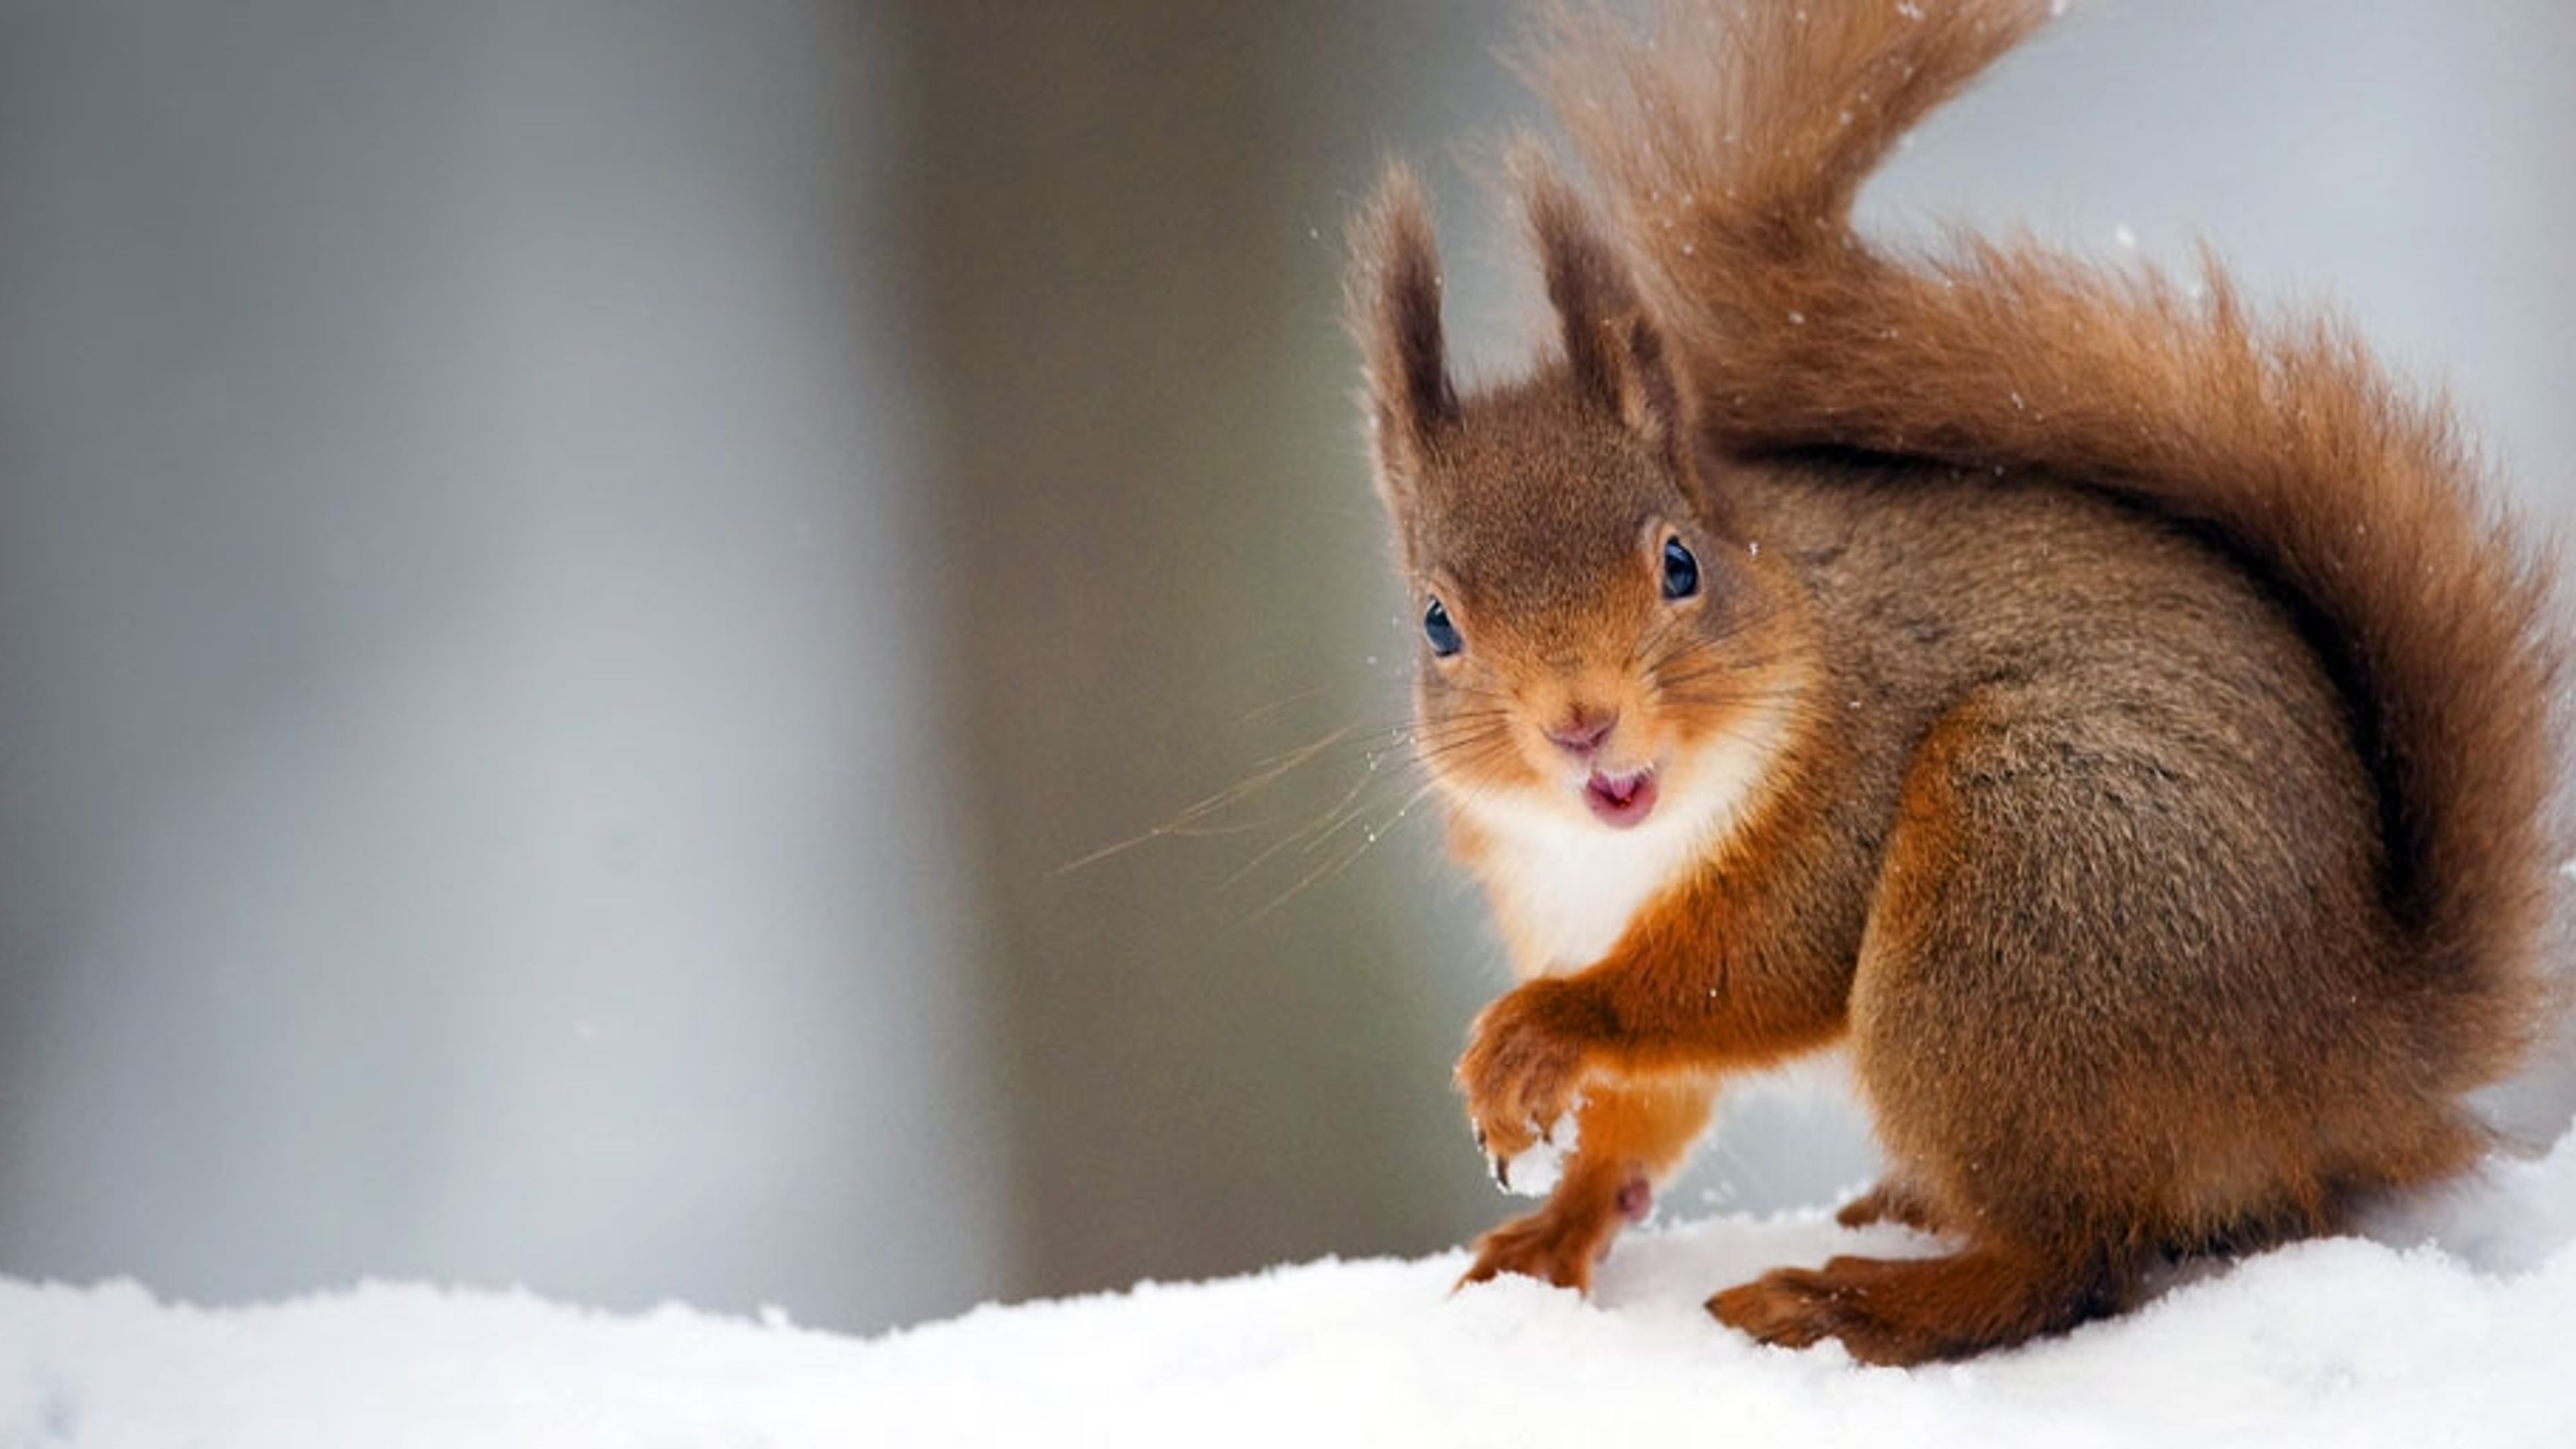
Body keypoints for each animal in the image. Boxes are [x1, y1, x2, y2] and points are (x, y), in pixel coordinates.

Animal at [1346, 0, 2567, 1364]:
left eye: (1679, 563)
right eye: (1438, 626)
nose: (1582, 722)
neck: (1626, 848)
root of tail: (2361, 1047)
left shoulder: (1847, 780)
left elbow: (1750, 967)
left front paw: (1542, 1033)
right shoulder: (1551, 901)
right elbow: (1647, 1117)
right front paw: (1557, 1220)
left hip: (2016, 881)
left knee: (2071, 1261)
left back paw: (1853, 1302)